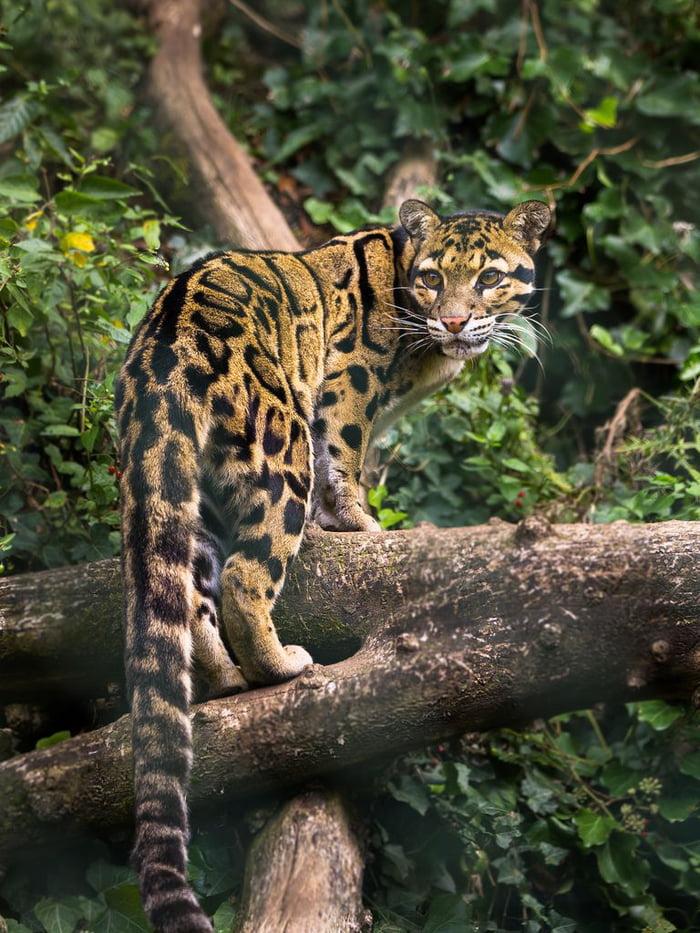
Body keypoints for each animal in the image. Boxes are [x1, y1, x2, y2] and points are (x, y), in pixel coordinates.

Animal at [115, 197, 552, 932]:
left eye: (489, 277)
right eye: (432, 279)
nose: (453, 321)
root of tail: (165, 353)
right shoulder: (348, 386)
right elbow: (345, 458)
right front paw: (360, 522)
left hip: (174, 492)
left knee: (187, 595)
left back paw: (224, 678)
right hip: (280, 447)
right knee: (245, 578)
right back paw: (279, 665)